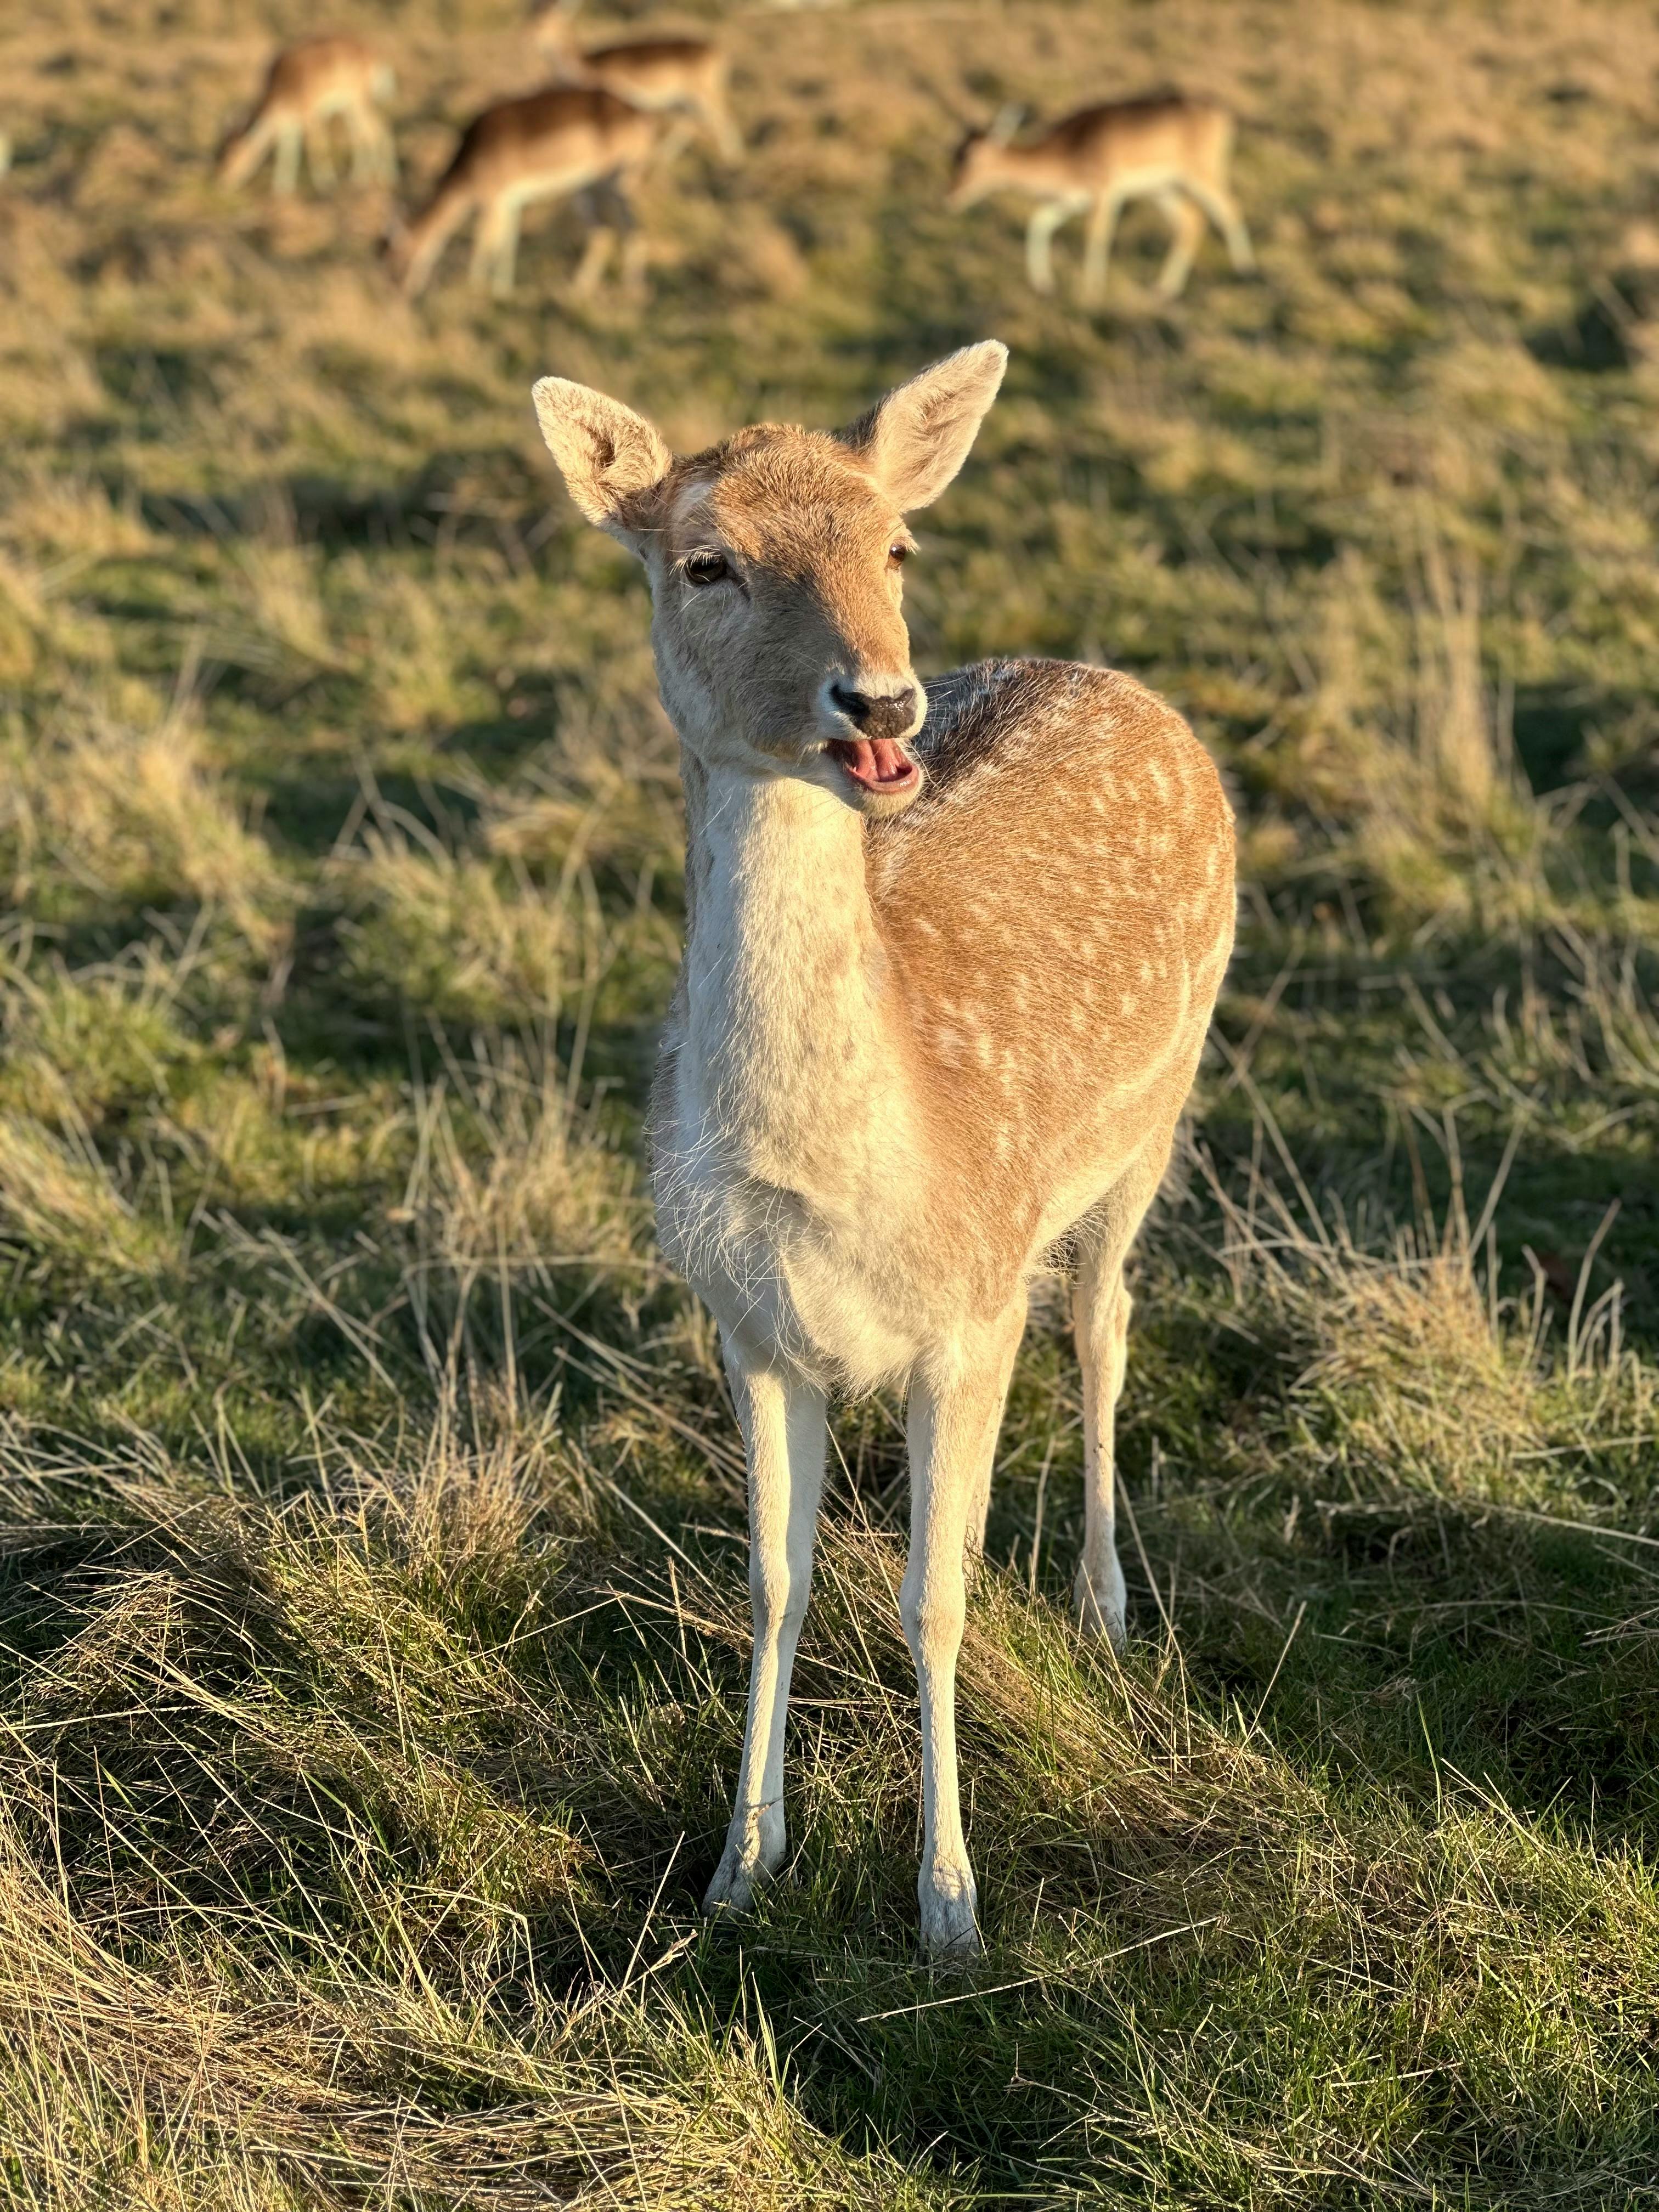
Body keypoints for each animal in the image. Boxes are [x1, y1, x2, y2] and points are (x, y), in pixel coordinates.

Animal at [216, 36, 397, 196]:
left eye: (234, 154)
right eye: (222, 153)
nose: (223, 180)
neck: (282, 94)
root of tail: (377, 60)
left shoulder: (310, 114)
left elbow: (315, 148)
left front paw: (327, 185)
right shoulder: (290, 125)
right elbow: (288, 152)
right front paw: (281, 190)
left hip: (357, 100)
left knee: (371, 131)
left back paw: (368, 178)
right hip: (352, 105)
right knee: (372, 129)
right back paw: (379, 176)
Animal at [385, 88, 669, 299]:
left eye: (395, 256)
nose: (397, 293)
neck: (470, 164)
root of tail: (643, 117)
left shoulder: (492, 202)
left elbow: (484, 244)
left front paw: (473, 289)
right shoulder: (511, 203)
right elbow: (508, 243)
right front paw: (502, 292)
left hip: (612, 186)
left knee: (627, 227)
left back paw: (627, 289)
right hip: (591, 189)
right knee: (607, 232)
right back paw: (585, 287)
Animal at [529, 0, 742, 159]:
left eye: (545, 21)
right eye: (531, 15)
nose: (532, 38)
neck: (588, 66)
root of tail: (720, 52)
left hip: (704, 91)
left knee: (723, 115)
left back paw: (733, 158)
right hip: (684, 100)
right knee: (693, 121)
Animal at [531, 343, 1236, 1957]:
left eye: (896, 546)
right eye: (706, 561)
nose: (882, 700)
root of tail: (1122, 679)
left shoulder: (967, 1318)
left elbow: (933, 1600)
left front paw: (950, 1907)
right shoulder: (746, 1327)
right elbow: (774, 1580)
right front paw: (740, 1869)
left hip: (1157, 1114)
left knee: (1105, 1321)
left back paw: (1108, 1606)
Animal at [947, 94, 1254, 304]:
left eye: (970, 157)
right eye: (954, 152)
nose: (951, 195)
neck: (1064, 157)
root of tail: (1224, 116)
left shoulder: (1105, 192)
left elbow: (1097, 234)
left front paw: (1091, 292)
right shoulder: (1071, 201)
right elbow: (1039, 222)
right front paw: (1044, 285)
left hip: (1202, 173)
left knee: (1230, 207)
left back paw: (1244, 268)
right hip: (1163, 189)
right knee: (1191, 220)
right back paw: (1163, 289)